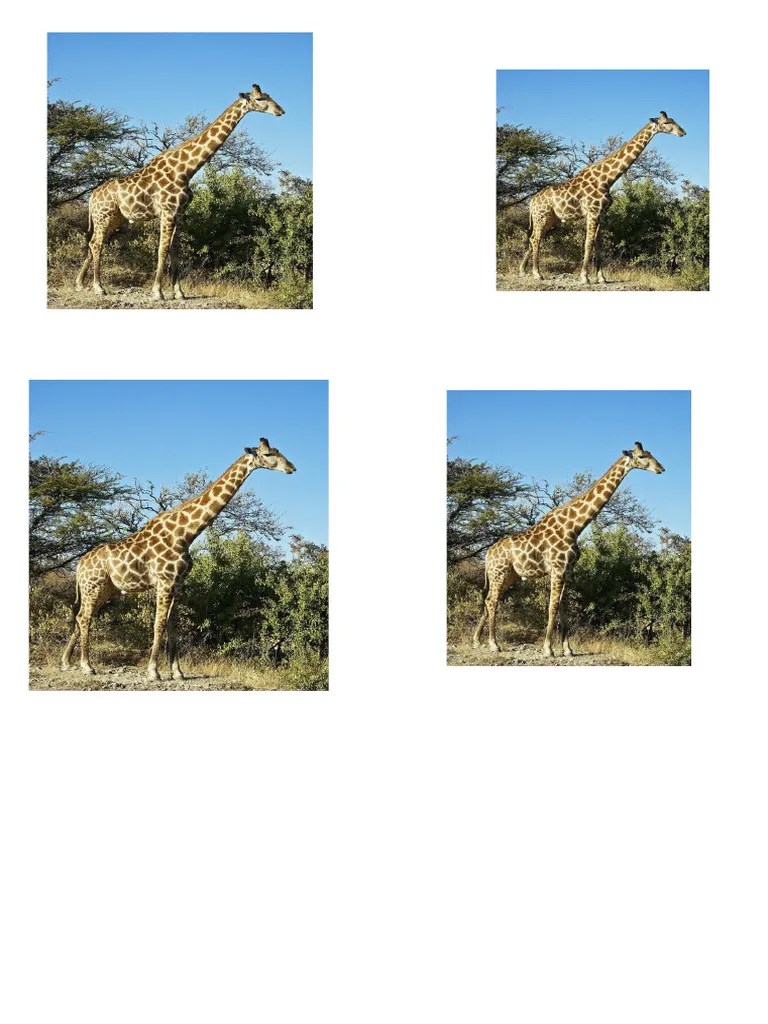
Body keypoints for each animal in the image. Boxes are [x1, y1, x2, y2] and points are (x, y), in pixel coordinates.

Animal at [61, 440, 296, 681]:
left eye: (278, 451)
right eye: (268, 454)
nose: (291, 468)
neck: (185, 535)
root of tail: (79, 565)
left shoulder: (179, 583)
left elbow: (173, 626)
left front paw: (178, 672)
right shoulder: (164, 581)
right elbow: (159, 624)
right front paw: (153, 671)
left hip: (106, 588)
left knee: (80, 617)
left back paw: (67, 662)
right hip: (93, 585)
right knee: (84, 618)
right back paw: (86, 666)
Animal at [75, 84, 285, 301]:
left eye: (268, 96)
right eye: (260, 99)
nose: (281, 111)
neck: (186, 170)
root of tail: (91, 197)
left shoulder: (180, 213)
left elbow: (176, 250)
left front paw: (179, 292)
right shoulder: (167, 212)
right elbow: (162, 249)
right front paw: (158, 292)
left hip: (115, 218)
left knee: (93, 243)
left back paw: (80, 284)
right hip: (104, 216)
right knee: (96, 244)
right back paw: (98, 287)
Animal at [472, 442, 665, 657]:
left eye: (650, 453)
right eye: (641, 456)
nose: (661, 469)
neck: (574, 527)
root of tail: (488, 554)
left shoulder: (569, 569)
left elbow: (565, 607)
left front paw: (568, 649)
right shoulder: (557, 568)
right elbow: (552, 606)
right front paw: (548, 649)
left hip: (509, 575)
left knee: (488, 600)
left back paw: (477, 641)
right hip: (499, 573)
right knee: (491, 601)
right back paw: (493, 644)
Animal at [519, 112, 686, 284]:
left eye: (673, 120)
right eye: (666, 123)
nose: (682, 132)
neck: (607, 180)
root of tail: (532, 202)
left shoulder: (602, 213)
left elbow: (598, 244)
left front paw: (601, 277)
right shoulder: (592, 212)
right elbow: (588, 243)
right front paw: (584, 277)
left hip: (550, 219)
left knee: (533, 239)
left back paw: (523, 270)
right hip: (541, 216)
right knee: (535, 239)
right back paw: (537, 273)